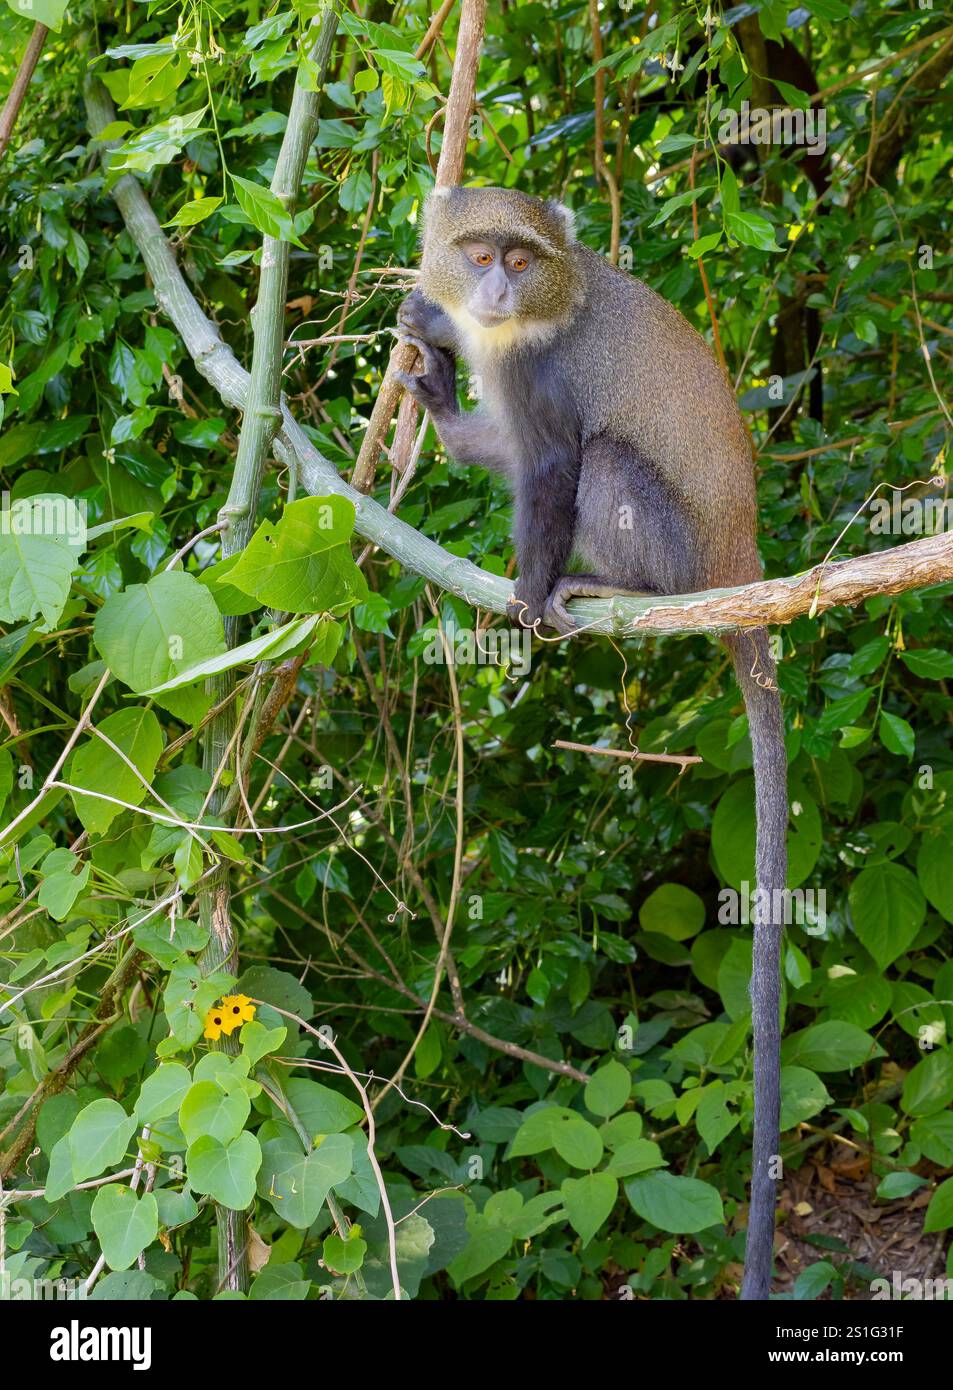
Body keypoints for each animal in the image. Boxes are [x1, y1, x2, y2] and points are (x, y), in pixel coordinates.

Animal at [394, 185, 787, 1301]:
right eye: (480, 253)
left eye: (522, 261)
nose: (492, 291)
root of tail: (740, 565)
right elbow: (496, 439)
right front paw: (435, 380)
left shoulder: (540, 374)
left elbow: (553, 466)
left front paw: (526, 600)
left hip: (674, 549)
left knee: (606, 461)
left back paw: (601, 587)